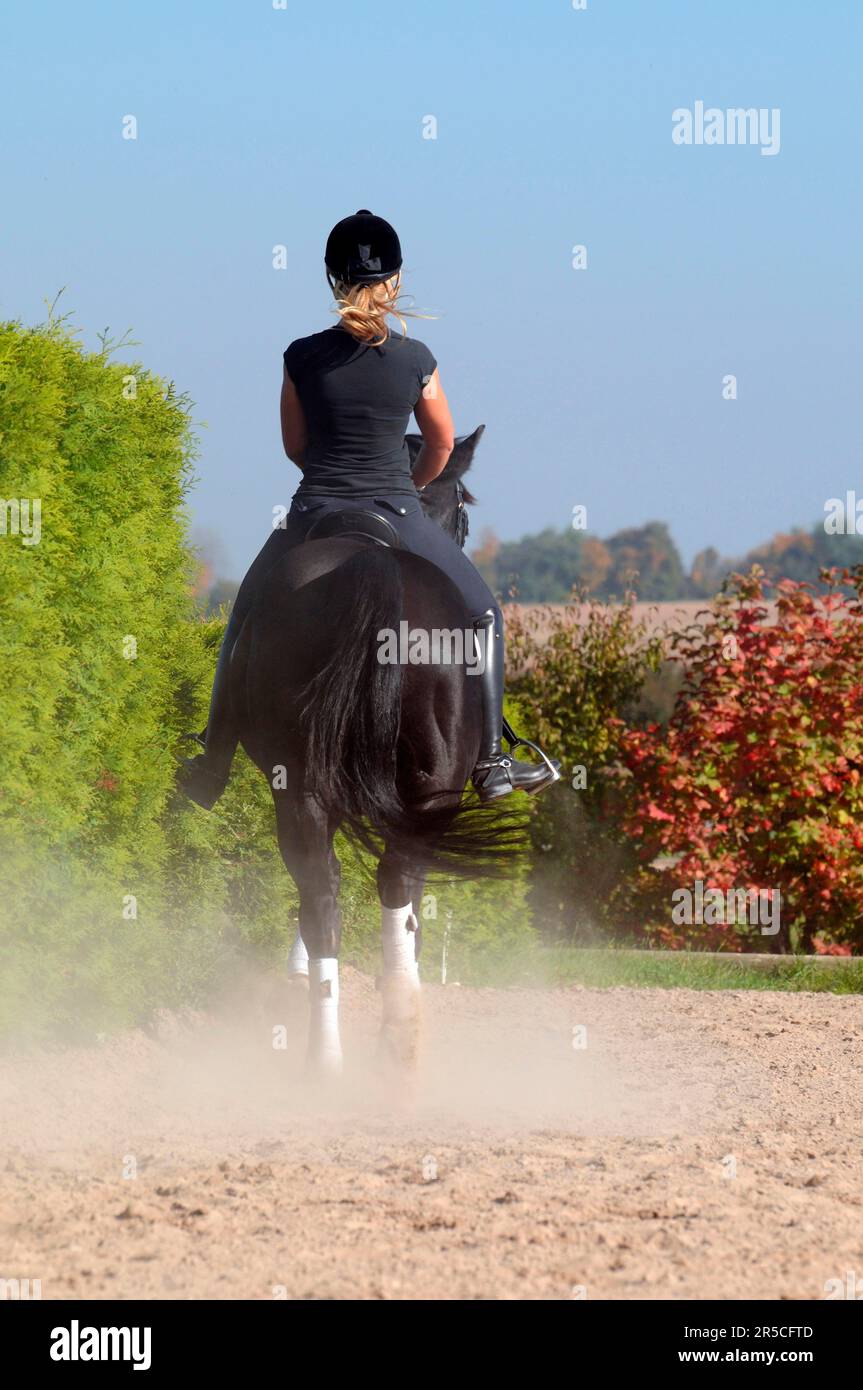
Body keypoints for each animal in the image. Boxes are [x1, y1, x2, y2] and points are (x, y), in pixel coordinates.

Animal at [227, 425, 520, 1076]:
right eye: (465, 509)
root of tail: (371, 558)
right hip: (431, 786)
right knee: (396, 880)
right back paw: (399, 1032)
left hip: (302, 781)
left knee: (321, 887)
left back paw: (326, 1059)